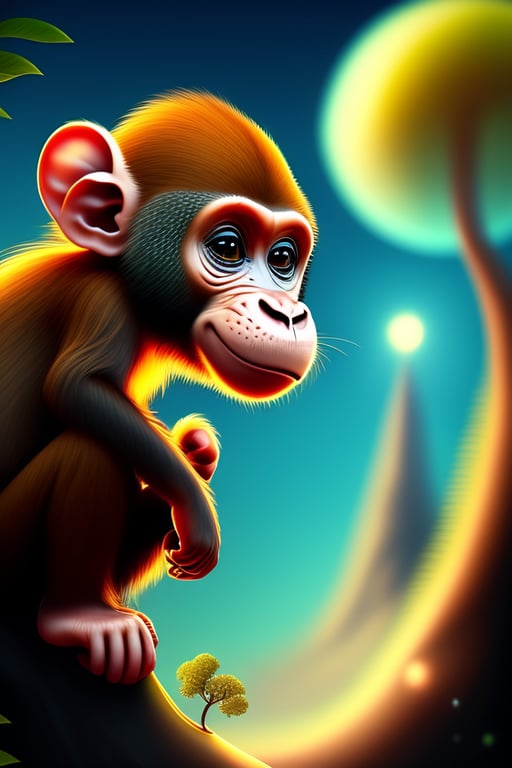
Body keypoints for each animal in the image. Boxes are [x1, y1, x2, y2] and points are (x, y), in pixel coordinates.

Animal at [0, 90, 317, 685]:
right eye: (229, 247)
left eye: (284, 259)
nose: (285, 313)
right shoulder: (101, 297)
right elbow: (81, 388)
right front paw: (197, 511)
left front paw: (198, 448)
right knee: (90, 446)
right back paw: (81, 615)